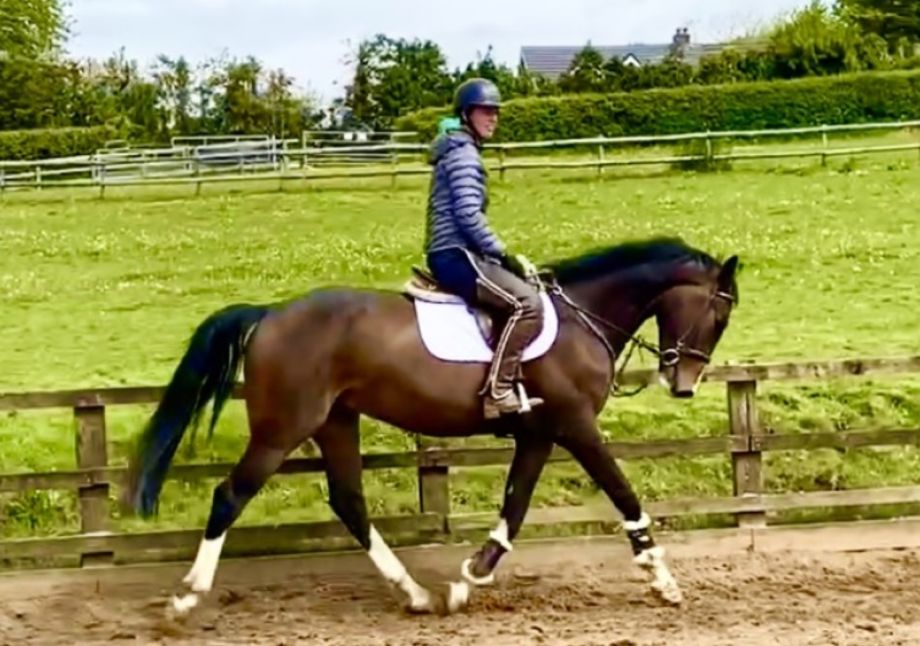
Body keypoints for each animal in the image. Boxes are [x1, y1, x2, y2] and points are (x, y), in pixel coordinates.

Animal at [121, 236, 740, 617]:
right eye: (720, 313)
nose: (684, 383)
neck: (580, 318)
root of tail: (271, 313)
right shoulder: (575, 426)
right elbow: (623, 493)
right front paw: (662, 580)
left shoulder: (538, 433)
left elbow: (515, 508)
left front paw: (467, 581)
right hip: (283, 429)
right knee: (231, 495)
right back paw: (187, 599)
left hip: (336, 421)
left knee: (348, 501)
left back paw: (415, 593)